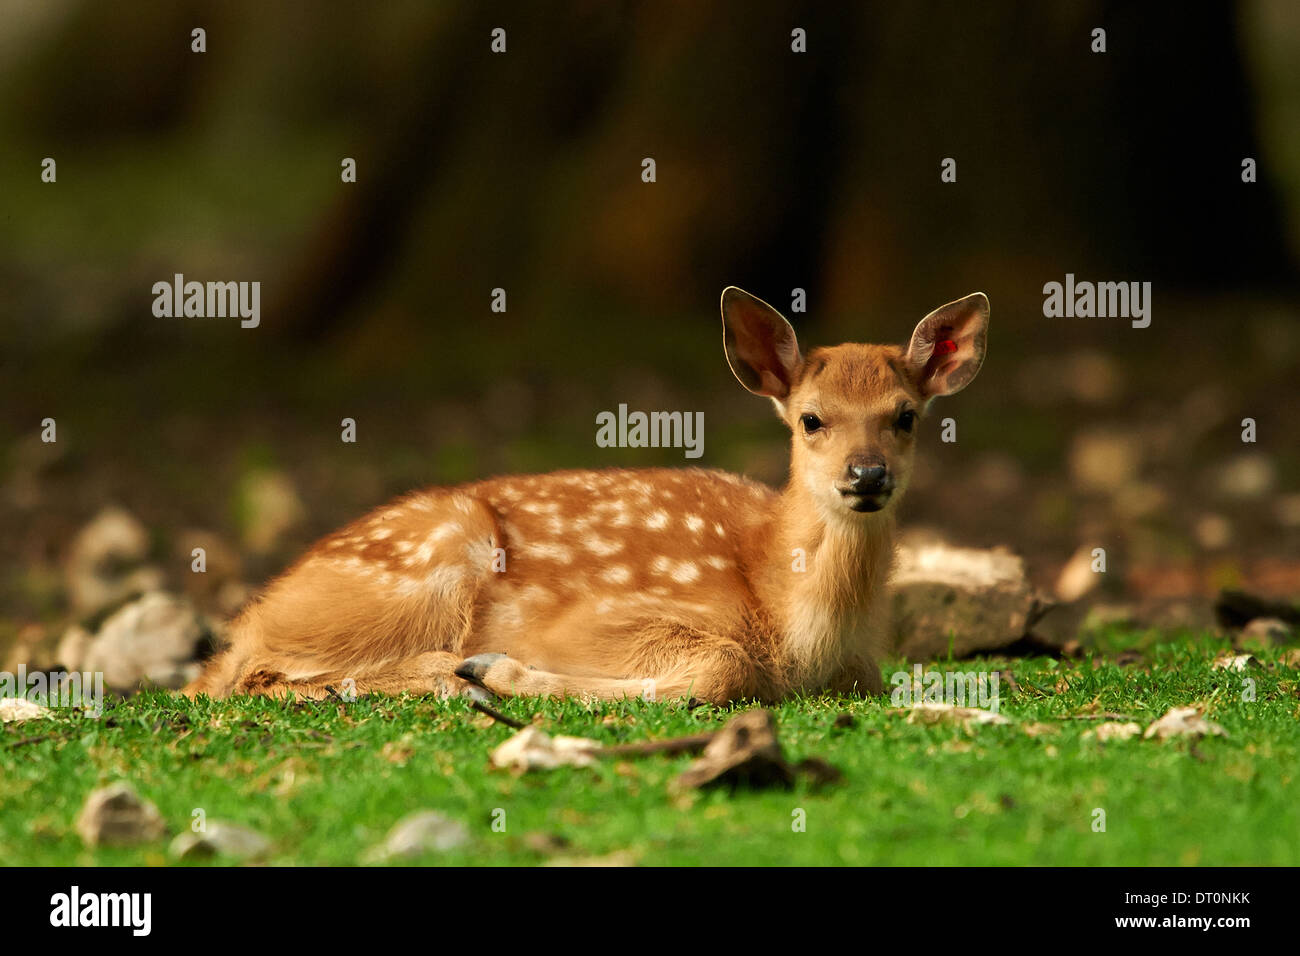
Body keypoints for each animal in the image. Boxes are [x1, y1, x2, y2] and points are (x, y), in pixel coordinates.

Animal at [183, 287, 988, 705]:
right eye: (811, 419)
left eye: (905, 416)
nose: (868, 476)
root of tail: (254, 612)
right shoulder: (609, 614)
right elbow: (724, 668)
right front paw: (497, 668)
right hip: (431, 561)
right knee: (246, 674)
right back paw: (458, 674)